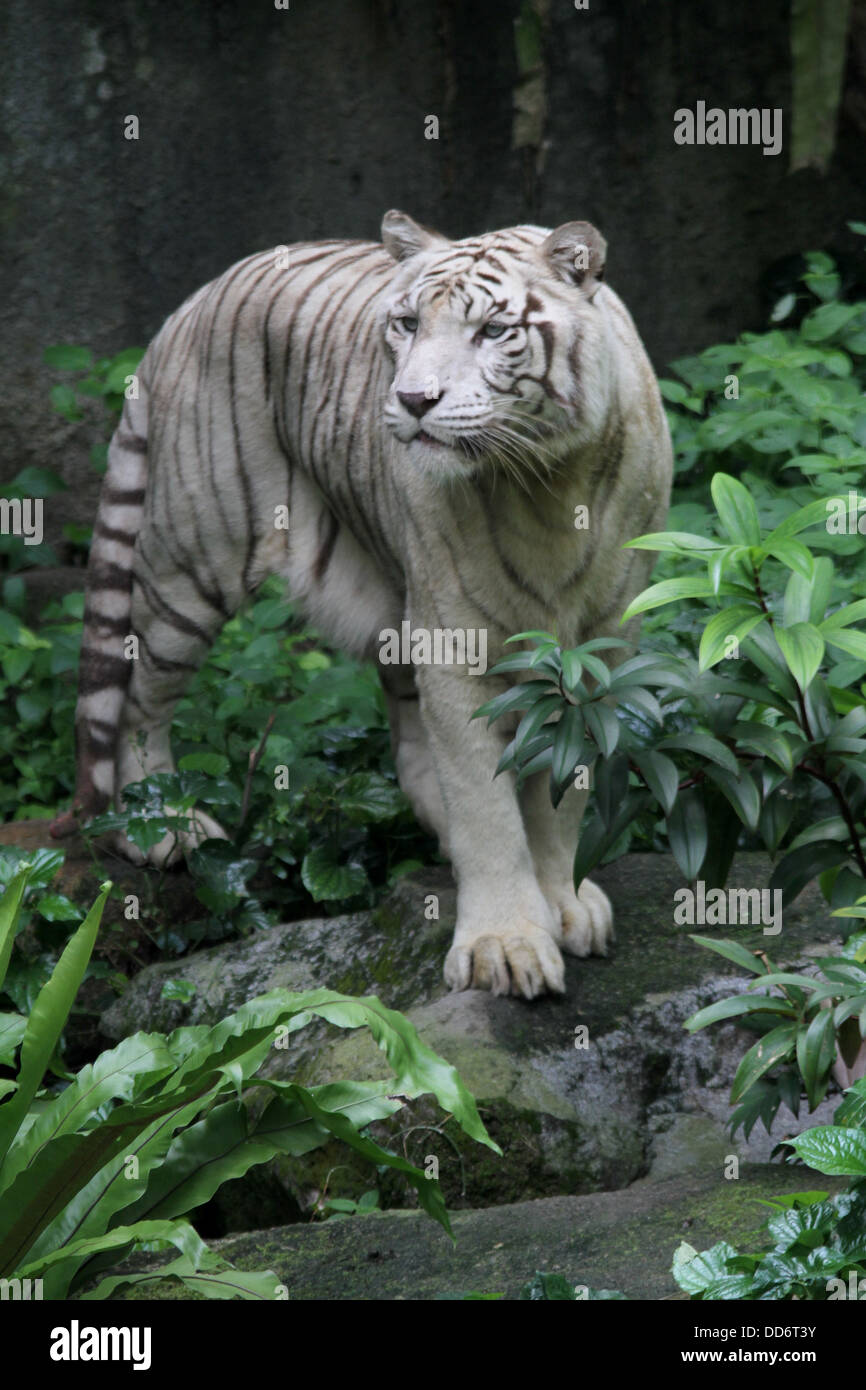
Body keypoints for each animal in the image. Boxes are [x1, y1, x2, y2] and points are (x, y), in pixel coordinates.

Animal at [50, 210, 672, 1000]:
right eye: (406, 324)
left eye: (493, 331)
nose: (413, 401)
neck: (545, 484)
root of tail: (192, 302)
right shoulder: (455, 637)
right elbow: (487, 803)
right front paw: (504, 943)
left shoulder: (601, 648)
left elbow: (560, 798)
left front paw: (560, 902)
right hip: (194, 561)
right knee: (139, 700)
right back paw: (163, 826)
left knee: (410, 749)